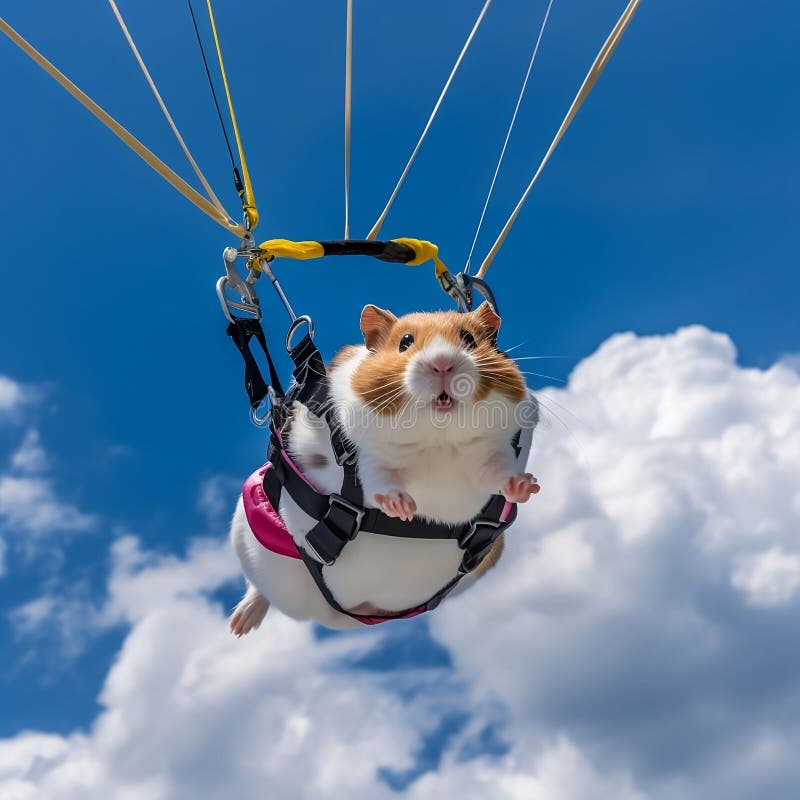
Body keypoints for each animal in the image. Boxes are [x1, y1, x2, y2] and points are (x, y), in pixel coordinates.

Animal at [229, 302, 539, 632]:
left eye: (469, 338)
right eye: (405, 342)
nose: (442, 363)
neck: (438, 438)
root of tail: (352, 613)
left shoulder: (492, 454)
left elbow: (499, 474)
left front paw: (526, 486)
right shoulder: (370, 458)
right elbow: (380, 479)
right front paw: (401, 507)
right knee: (258, 589)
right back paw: (240, 624)